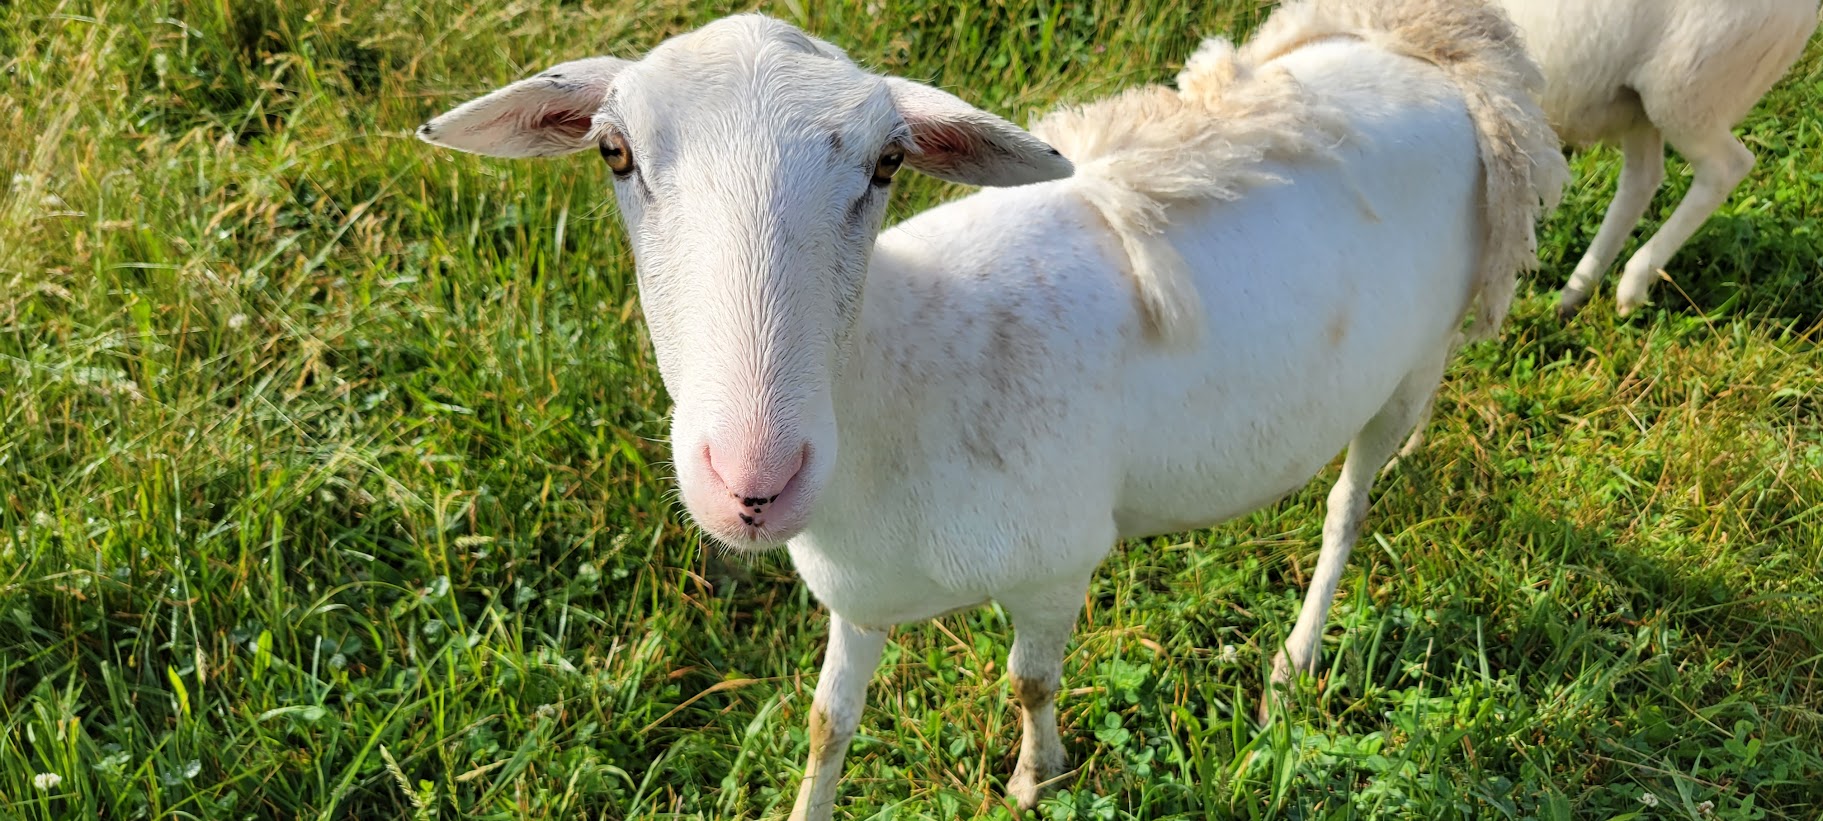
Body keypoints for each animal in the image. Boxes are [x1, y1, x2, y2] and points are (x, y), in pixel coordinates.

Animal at [417, 0, 1566, 816]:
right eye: (612, 153)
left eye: (887, 161)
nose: (753, 477)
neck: (907, 371)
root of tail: (1440, 54)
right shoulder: (857, 595)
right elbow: (826, 724)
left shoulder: (1058, 562)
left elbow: (1030, 683)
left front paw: (1034, 779)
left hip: (1412, 367)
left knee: (1346, 509)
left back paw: (1293, 660)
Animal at [1493, 0, 1822, 318]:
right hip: (1637, 106)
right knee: (1642, 180)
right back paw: (1574, 293)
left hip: (1686, 89)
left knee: (1726, 167)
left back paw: (1632, 284)